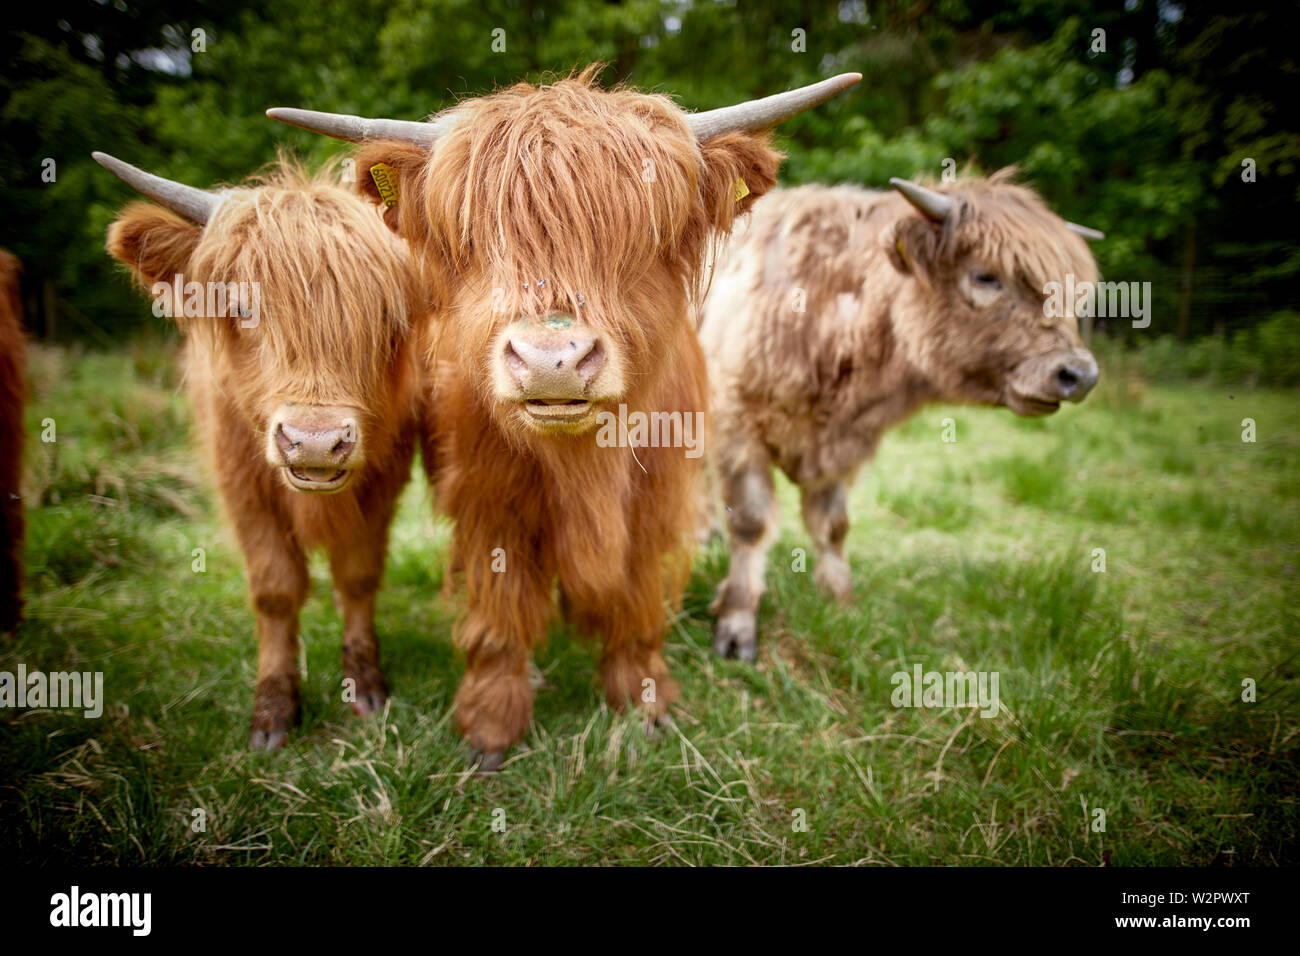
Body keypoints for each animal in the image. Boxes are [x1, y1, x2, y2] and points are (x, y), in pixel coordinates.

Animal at [96, 153, 427, 749]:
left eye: (388, 317)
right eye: (242, 307)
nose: (314, 440)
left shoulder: (383, 479)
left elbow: (358, 576)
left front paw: (364, 684)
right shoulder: (240, 486)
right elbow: (275, 590)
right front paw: (273, 707)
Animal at [269, 67, 861, 769]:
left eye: (645, 237)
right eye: (474, 239)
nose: (552, 360)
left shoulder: (655, 505)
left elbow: (637, 606)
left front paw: (643, 701)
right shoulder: (487, 503)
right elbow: (499, 614)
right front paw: (491, 724)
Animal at [697, 171, 1104, 661]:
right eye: (986, 276)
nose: (1079, 374)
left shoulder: (844, 448)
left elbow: (832, 526)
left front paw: (840, 601)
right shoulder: (738, 423)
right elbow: (751, 522)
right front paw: (737, 622)